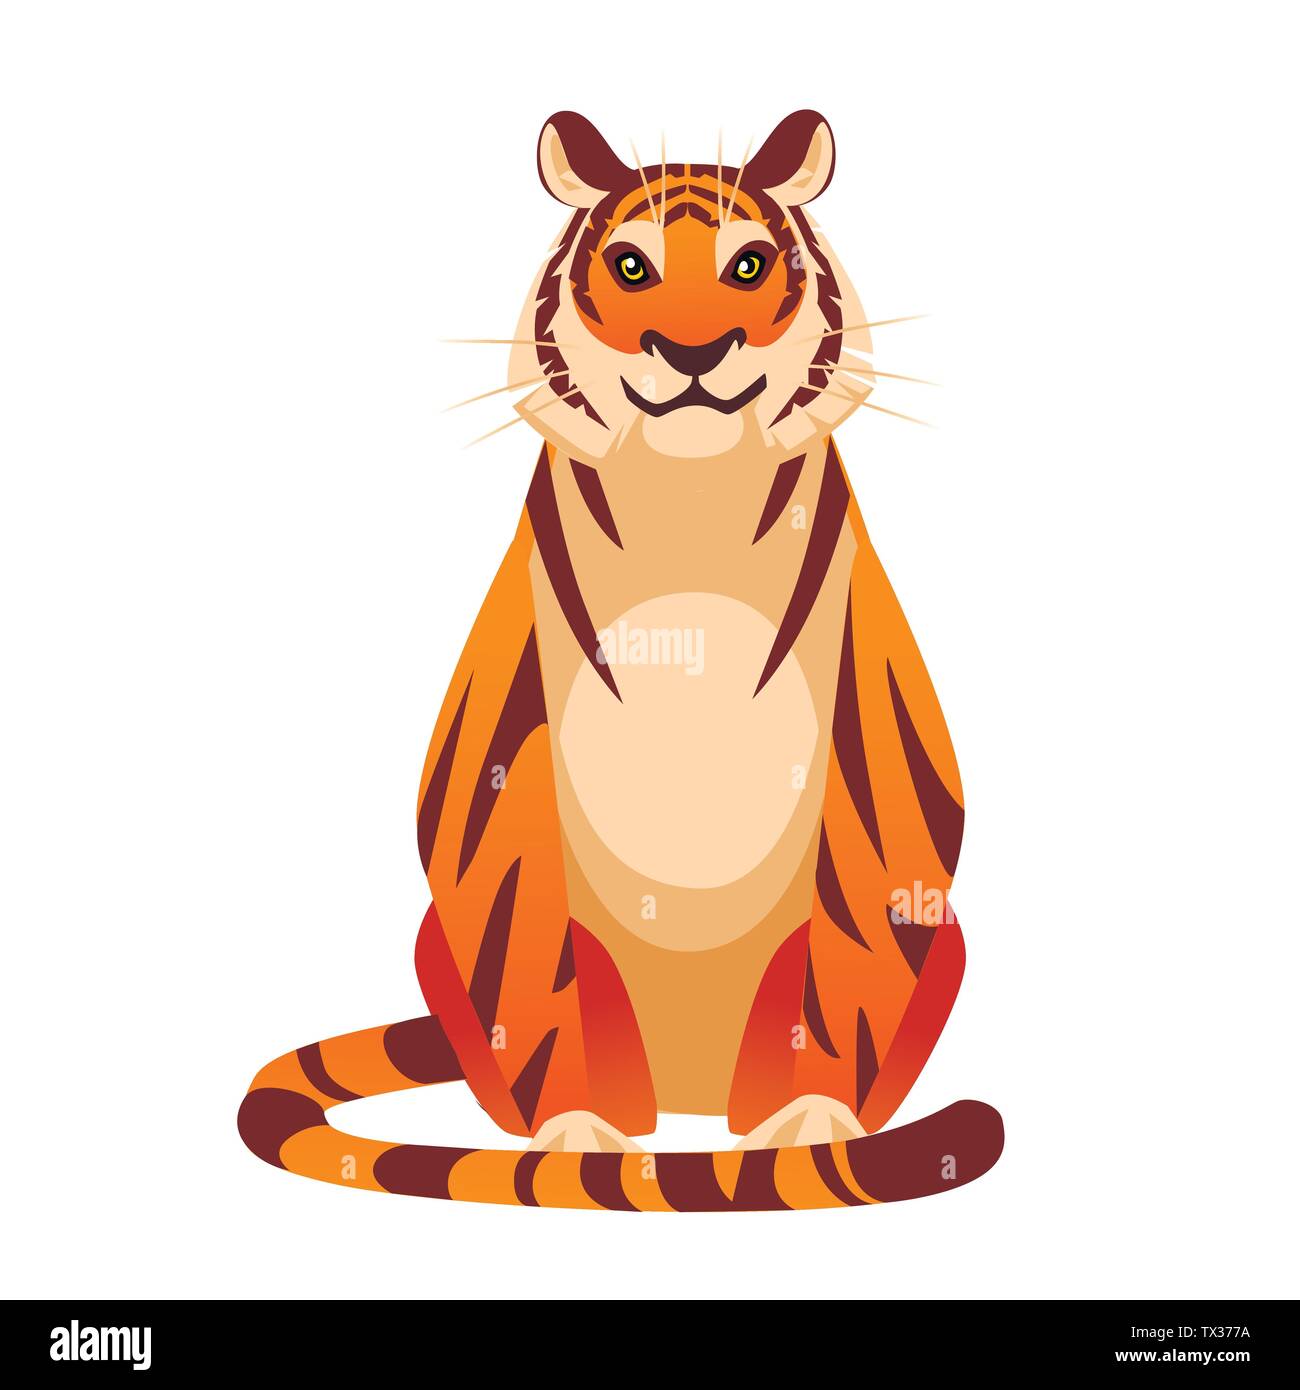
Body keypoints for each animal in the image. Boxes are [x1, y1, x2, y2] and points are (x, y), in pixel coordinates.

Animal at [238, 110, 1003, 1211]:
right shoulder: (511, 782)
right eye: (632, 265)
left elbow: (850, 948)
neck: (691, 511)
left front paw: (815, 1125)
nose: (691, 349)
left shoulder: (866, 771)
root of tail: (690, 1100)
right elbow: (529, 965)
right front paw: (574, 1141)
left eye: (748, 263)